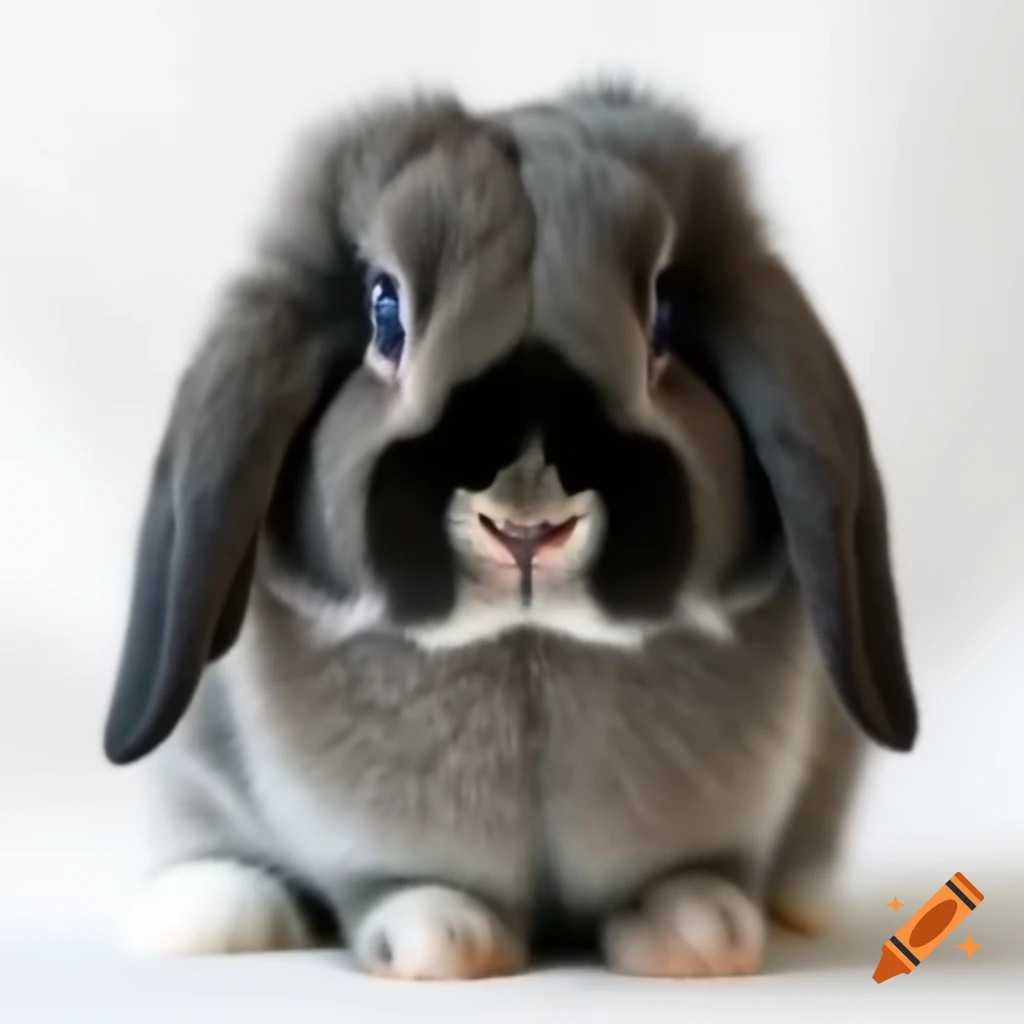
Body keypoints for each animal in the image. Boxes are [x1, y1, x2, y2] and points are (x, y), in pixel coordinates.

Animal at [103, 80, 917, 980]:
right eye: (385, 314)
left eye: (664, 319)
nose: (528, 527)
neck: (531, 648)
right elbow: (398, 886)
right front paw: (441, 939)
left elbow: (696, 871)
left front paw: (697, 933)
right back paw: (206, 911)